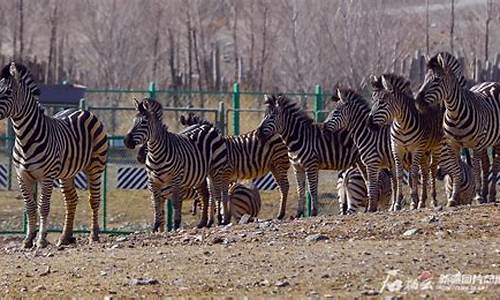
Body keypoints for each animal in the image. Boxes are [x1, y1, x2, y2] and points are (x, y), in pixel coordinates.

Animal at [0, 63, 108, 248]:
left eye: (8, 92)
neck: (24, 138)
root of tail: (81, 110)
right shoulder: (22, 176)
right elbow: (30, 207)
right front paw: (28, 239)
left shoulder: (47, 176)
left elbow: (43, 206)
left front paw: (41, 240)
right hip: (66, 173)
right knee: (71, 200)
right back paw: (65, 237)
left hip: (95, 167)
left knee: (94, 200)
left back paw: (93, 235)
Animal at [124, 97, 229, 229]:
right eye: (134, 121)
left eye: (144, 122)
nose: (127, 141)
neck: (156, 155)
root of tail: (206, 126)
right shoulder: (153, 182)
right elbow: (157, 206)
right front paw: (156, 227)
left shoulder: (176, 181)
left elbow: (175, 203)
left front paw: (176, 225)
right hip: (200, 176)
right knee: (205, 195)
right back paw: (203, 223)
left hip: (216, 169)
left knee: (217, 193)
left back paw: (219, 220)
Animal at [366, 73, 444, 210]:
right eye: (372, 101)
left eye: (382, 102)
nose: (369, 124)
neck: (402, 125)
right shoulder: (397, 149)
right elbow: (399, 175)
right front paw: (397, 203)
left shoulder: (416, 149)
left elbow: (413, 174)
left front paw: (413, 200)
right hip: (424, 151)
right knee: (424, 171)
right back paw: (422, 201)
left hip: (435, 147)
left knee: (432, 170)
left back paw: (433, 200)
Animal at [414, 52, 500, 205]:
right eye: (424, 79)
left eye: (436, 80)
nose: (418, 102)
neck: (455, 113)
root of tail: (492, 83)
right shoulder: (453, 144)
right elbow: (456, 169)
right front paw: (454, 197)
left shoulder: (476, 144)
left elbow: (475, 169)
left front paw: (477, 196)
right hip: (486, 141)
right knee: (486, 164)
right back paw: (485, 194)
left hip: (496, 140)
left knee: (495, 165)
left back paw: (489, 195)